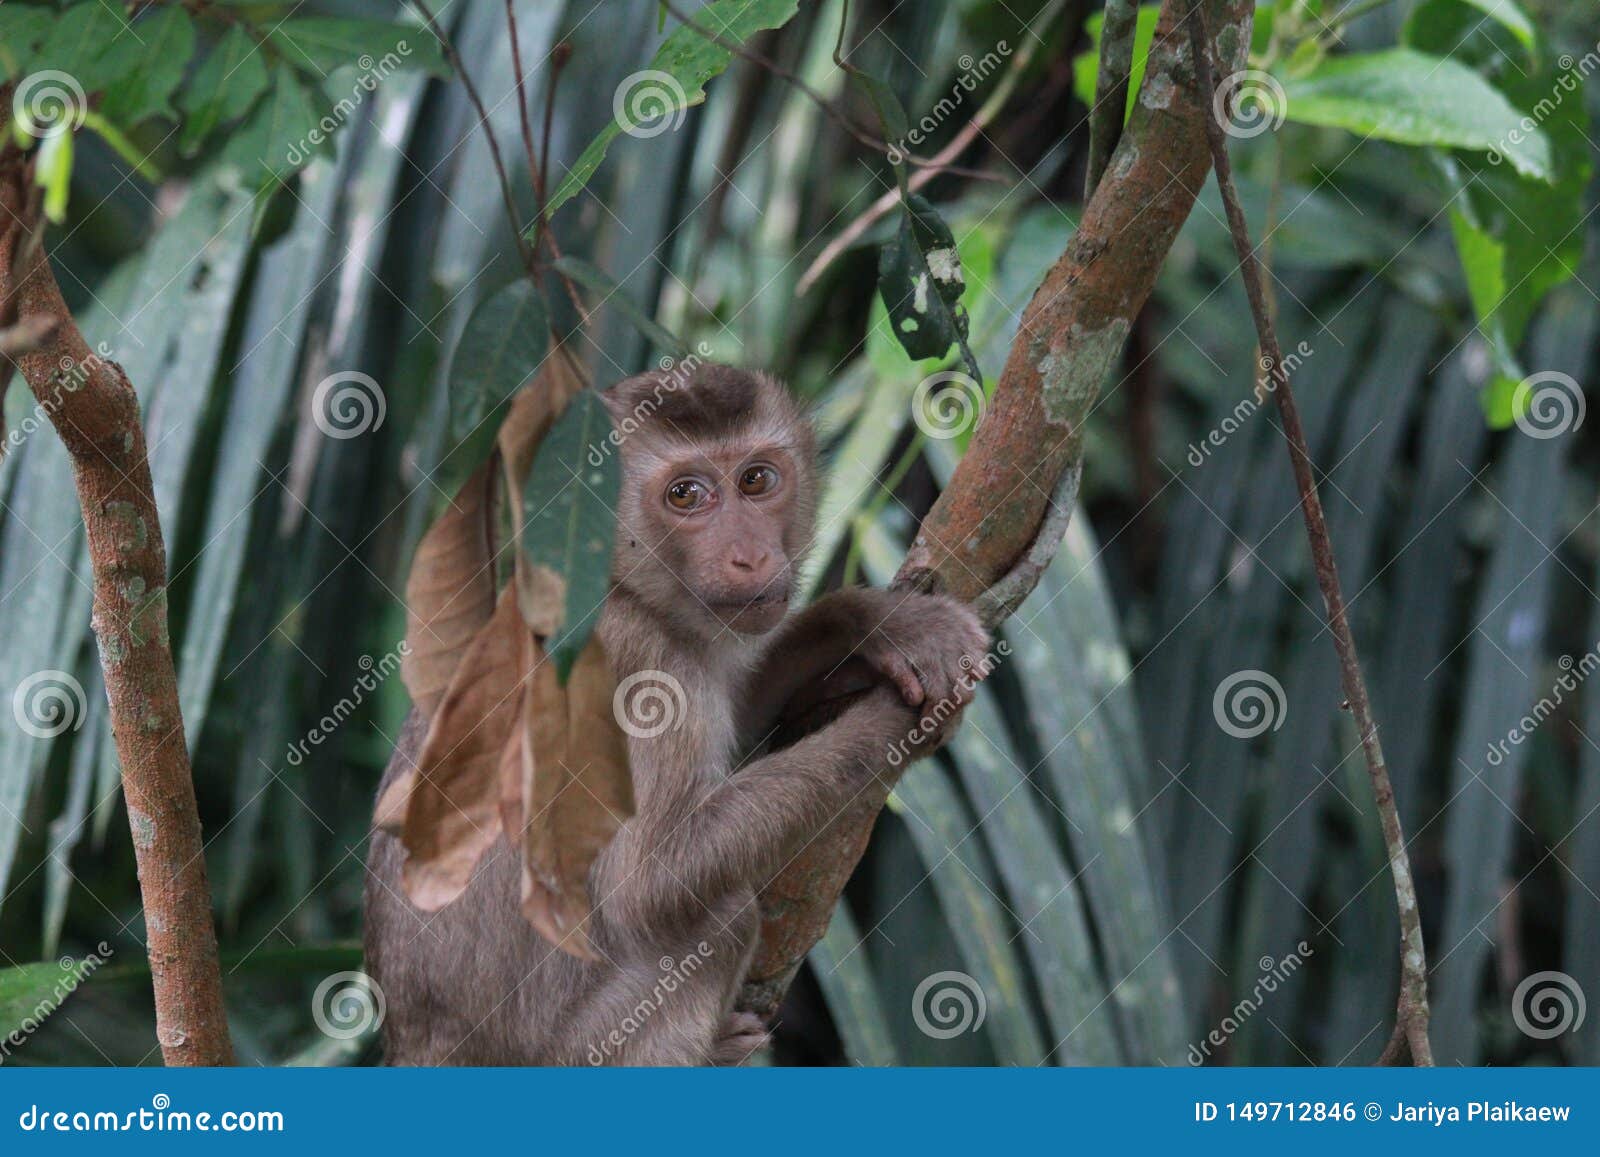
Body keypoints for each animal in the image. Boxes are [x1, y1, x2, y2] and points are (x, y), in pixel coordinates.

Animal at [364, 364, 991, 1065]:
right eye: (686, 495)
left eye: (756, 480)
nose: (752, 557)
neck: (620, 587)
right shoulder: (636, 665)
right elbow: (652, 880)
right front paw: (899, 730)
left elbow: (743, 694)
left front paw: (881, 622)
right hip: (570, 1052)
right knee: (722, 918)